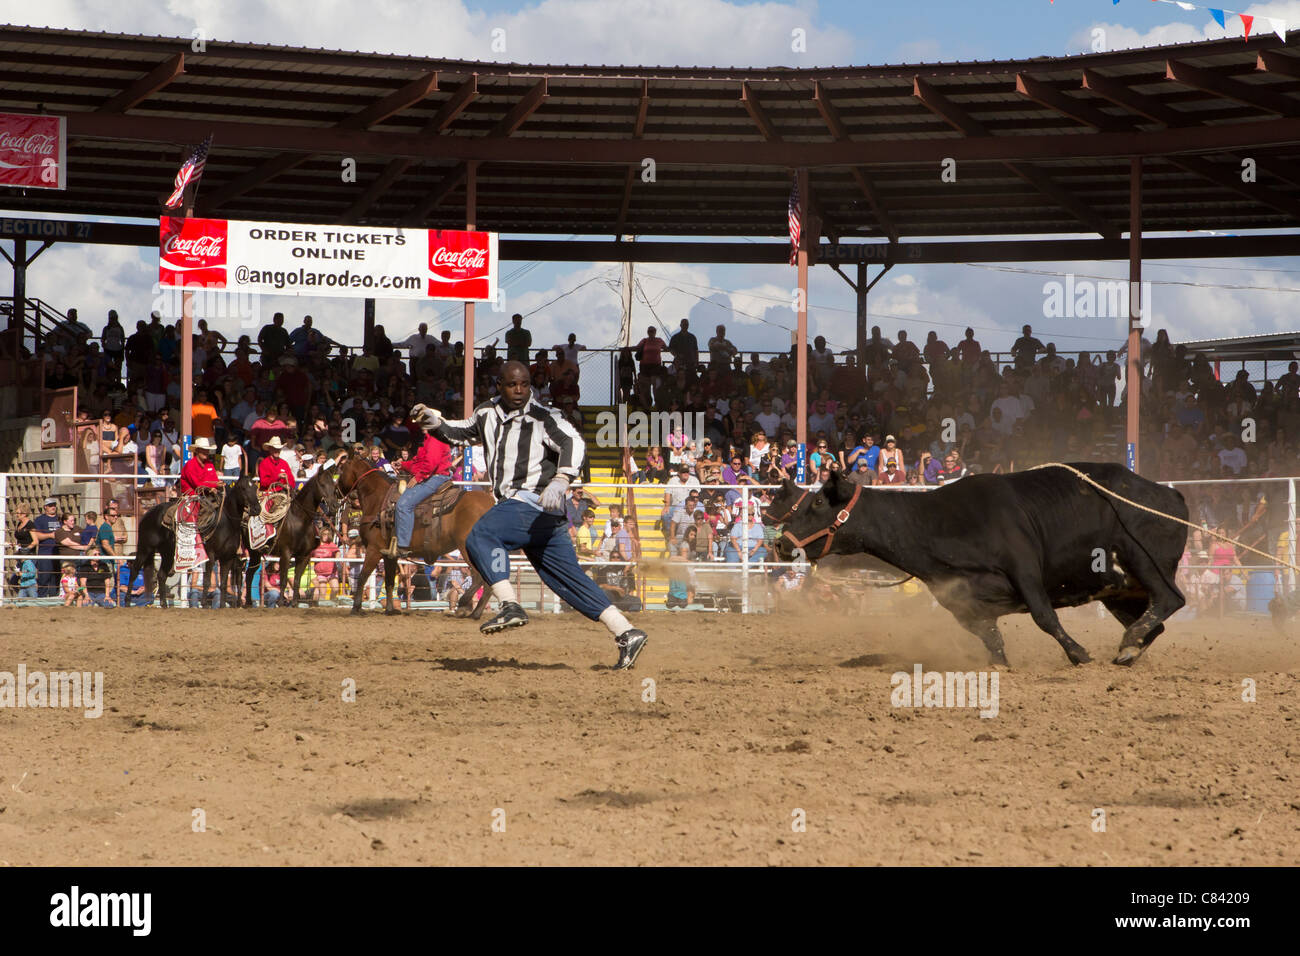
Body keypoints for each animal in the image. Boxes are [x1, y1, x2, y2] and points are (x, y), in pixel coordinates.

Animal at [764, 463, 1188, 667]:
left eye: (819, 502)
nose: (781, 543)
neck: (940, 523)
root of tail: (1171, 495)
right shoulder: (964, 605)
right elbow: (992, 642)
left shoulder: (1025, 570)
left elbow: (1044, 617)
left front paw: (1078, 654)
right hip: (1119, 589)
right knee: (1156, 621)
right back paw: (1132, 647)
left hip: (1143, 558)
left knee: (1171, 600)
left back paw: (1129, 644)